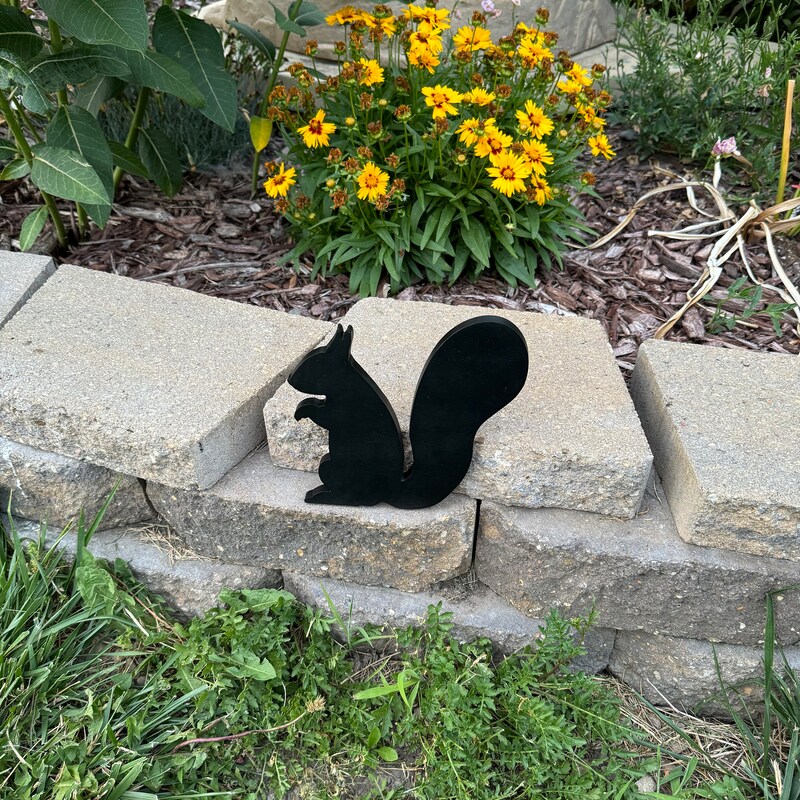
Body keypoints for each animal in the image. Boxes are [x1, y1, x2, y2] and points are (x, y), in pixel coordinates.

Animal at [287, 315, 528, 509]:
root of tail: (390, 491)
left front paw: (303, 411)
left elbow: (326, 417)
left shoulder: (345, 407)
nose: (289, 379)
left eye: (314, 364)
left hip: (333, 469)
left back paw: (325, 497)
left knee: (358, 497)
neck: (343, 382)